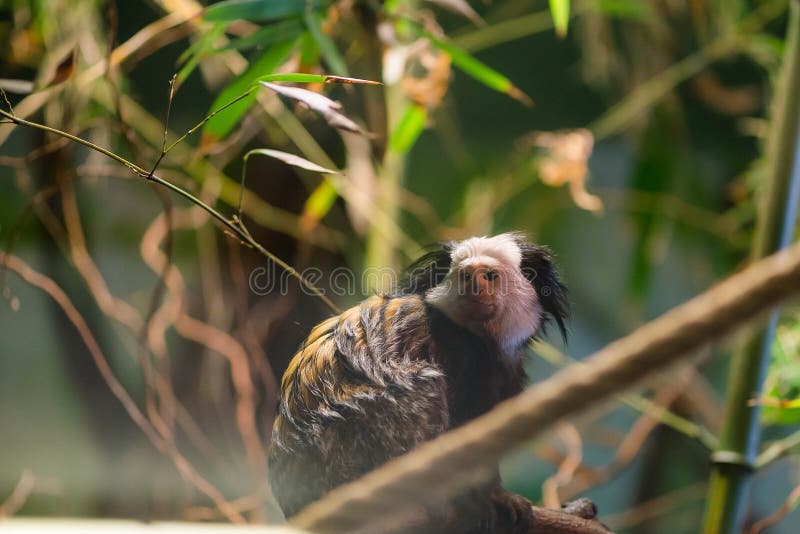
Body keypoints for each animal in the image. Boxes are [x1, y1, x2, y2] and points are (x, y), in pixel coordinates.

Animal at [268, 233, 574, 532]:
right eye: (465, 275)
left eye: (489, 275)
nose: (473, 286)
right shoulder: (457, 351)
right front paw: (478, 498)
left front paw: (495, 494)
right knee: (423, 389)